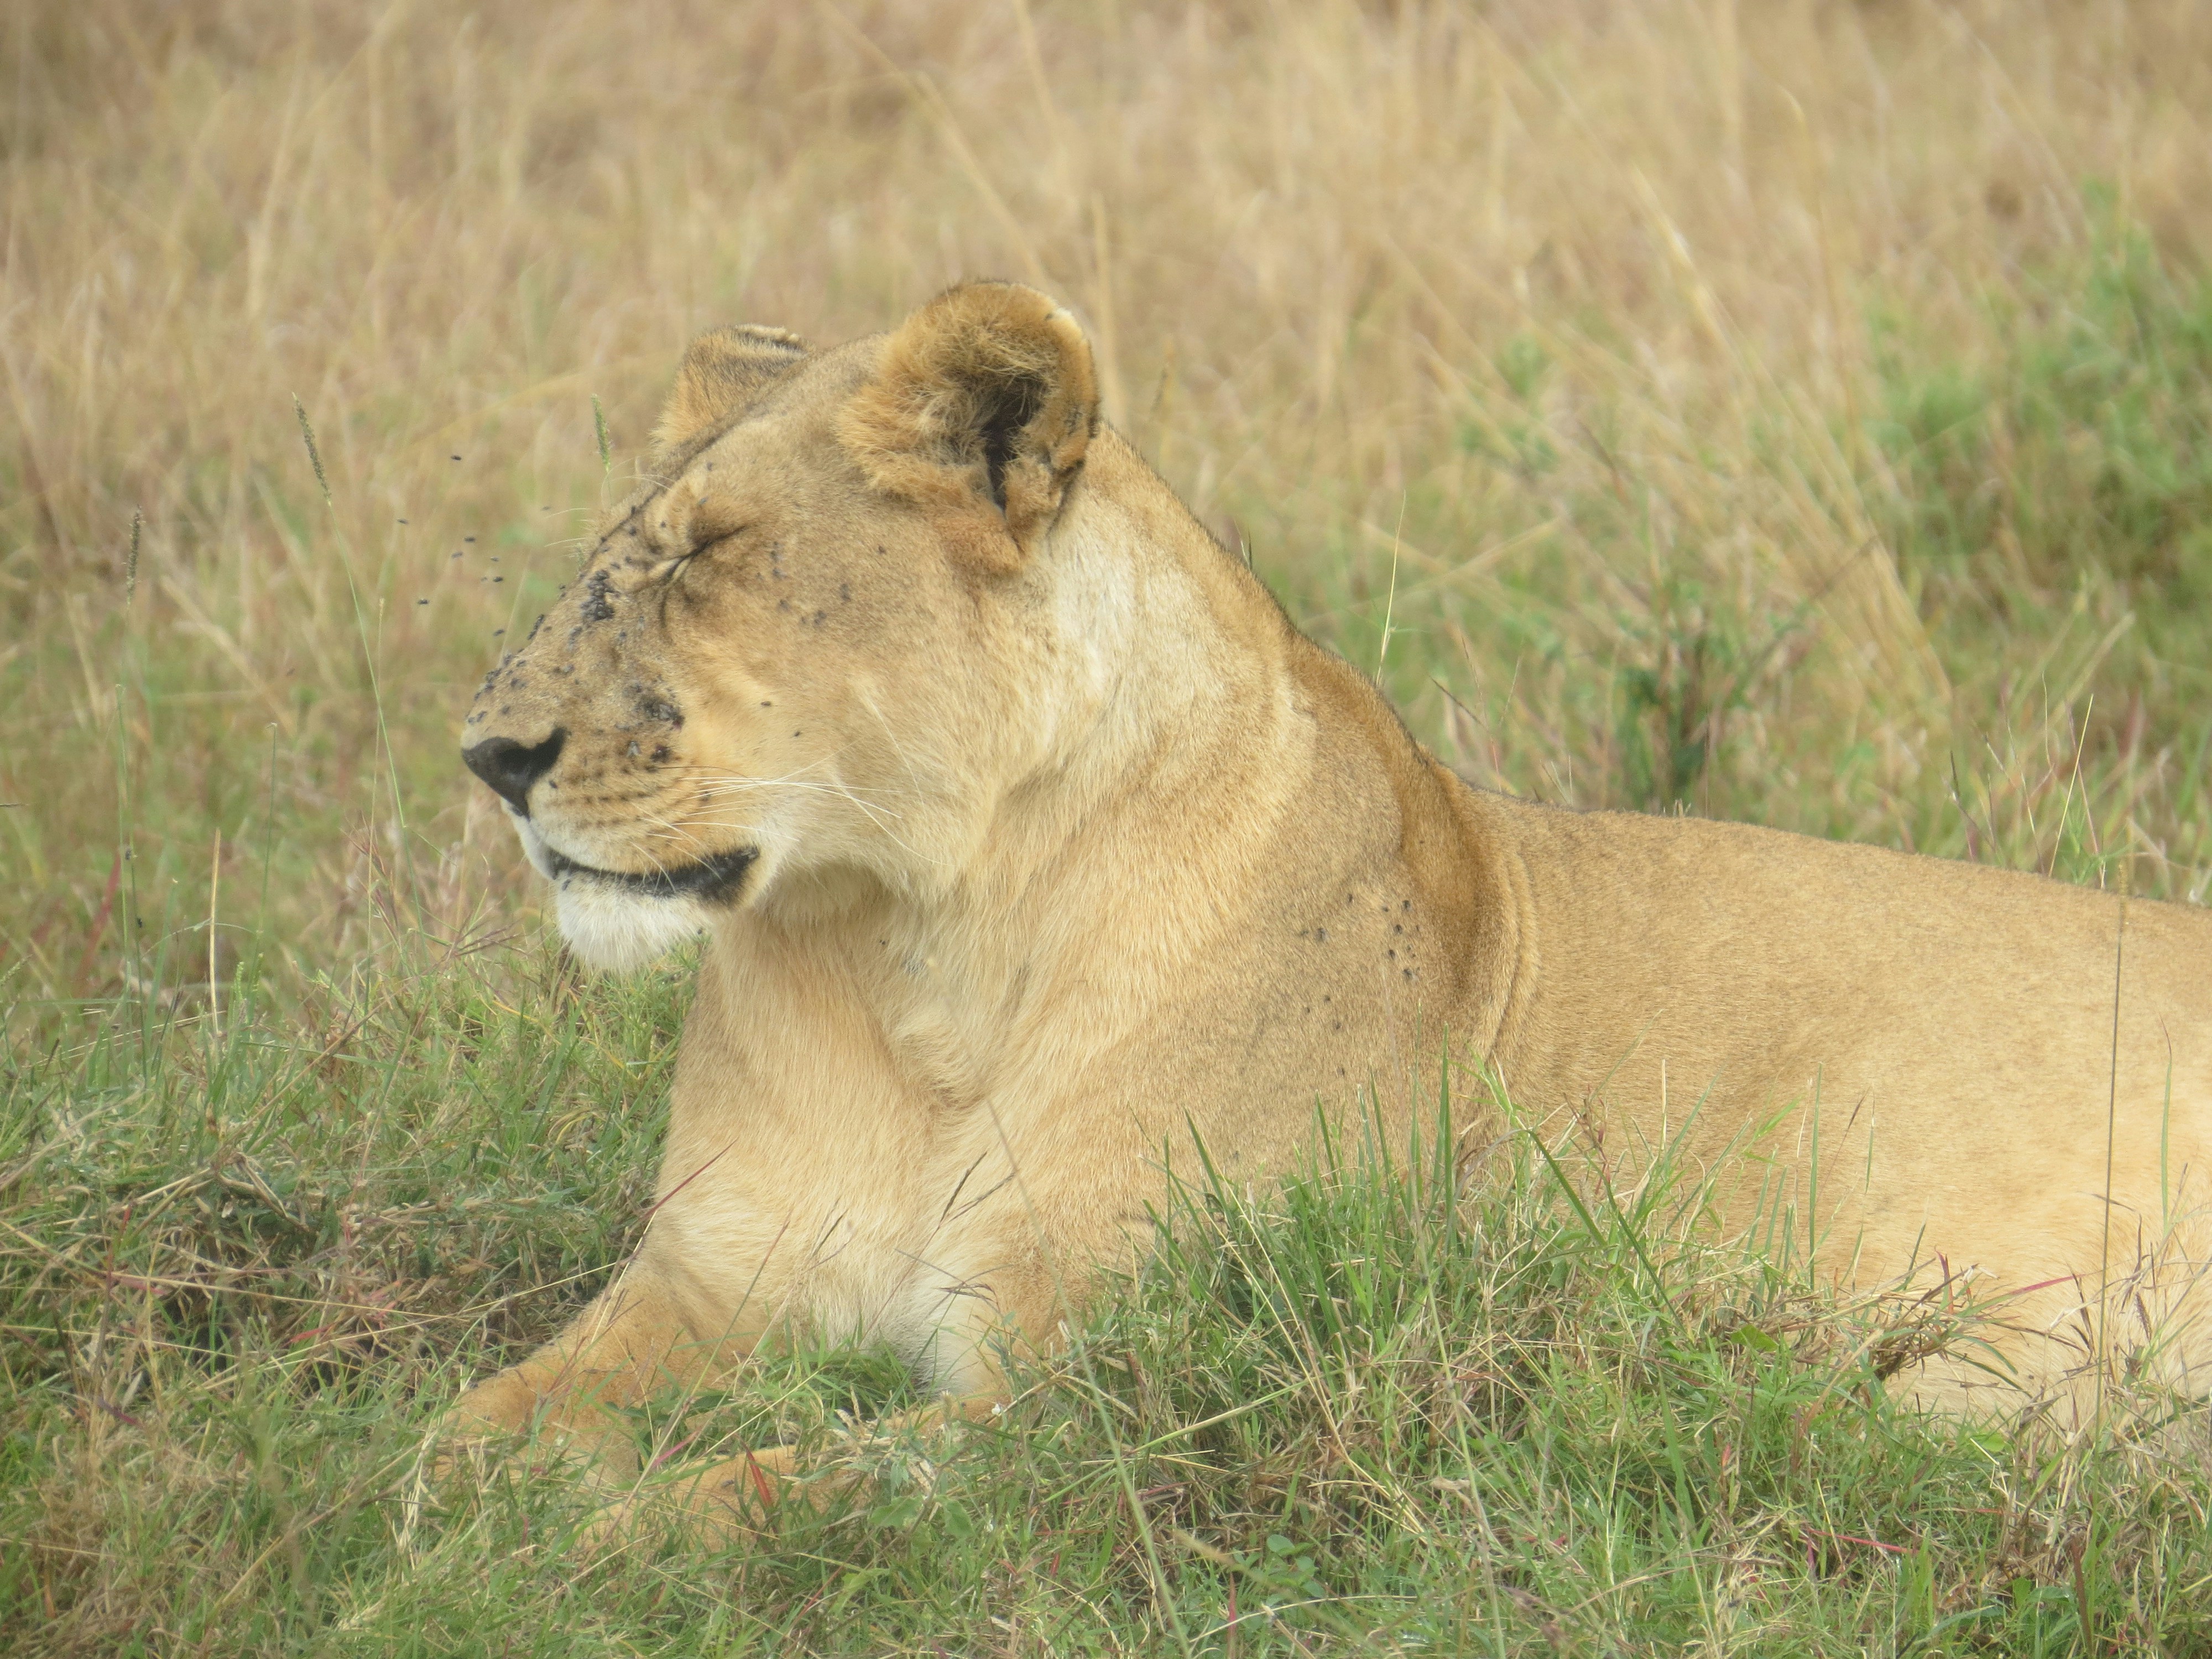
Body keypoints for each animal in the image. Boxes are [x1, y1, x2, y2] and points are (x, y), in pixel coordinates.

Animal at [450, 280, 2212, 1534]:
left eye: (706, 559)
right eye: (621, 556)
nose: (488, 755)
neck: (917, 959)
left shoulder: (1111, 1383)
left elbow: (791, 1480)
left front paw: (598, 1543)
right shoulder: (705, 1281)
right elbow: (475, 1427)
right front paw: (441, 1519)